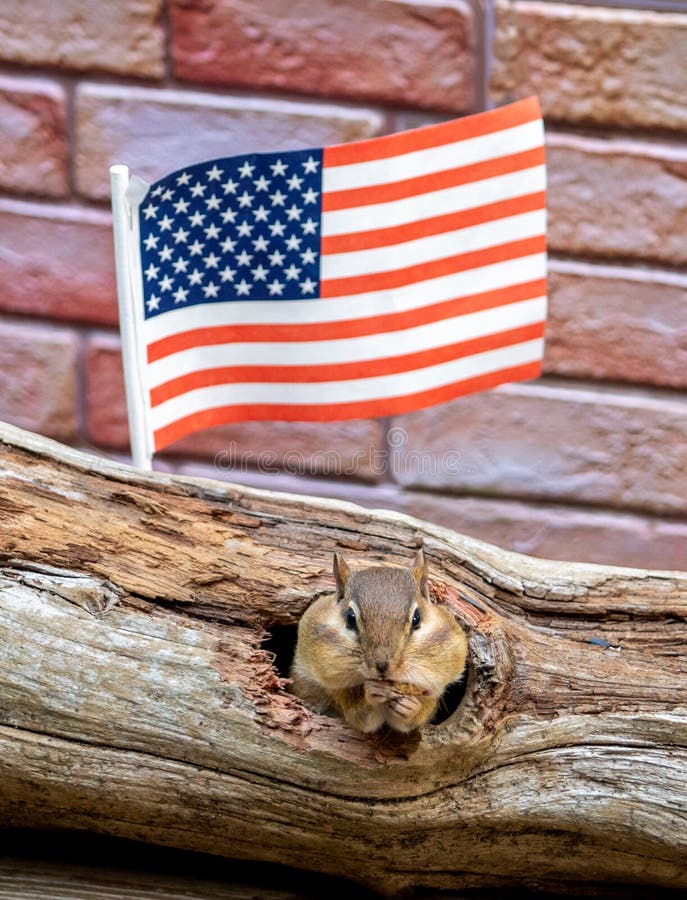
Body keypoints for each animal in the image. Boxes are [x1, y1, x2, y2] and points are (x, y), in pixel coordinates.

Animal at [289, 549, 468, 733]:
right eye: (350, 619)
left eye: (417, 618)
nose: (382, 666)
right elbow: (359, 714)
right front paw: (372, 693)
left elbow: (414, 718)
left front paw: (411, 706)